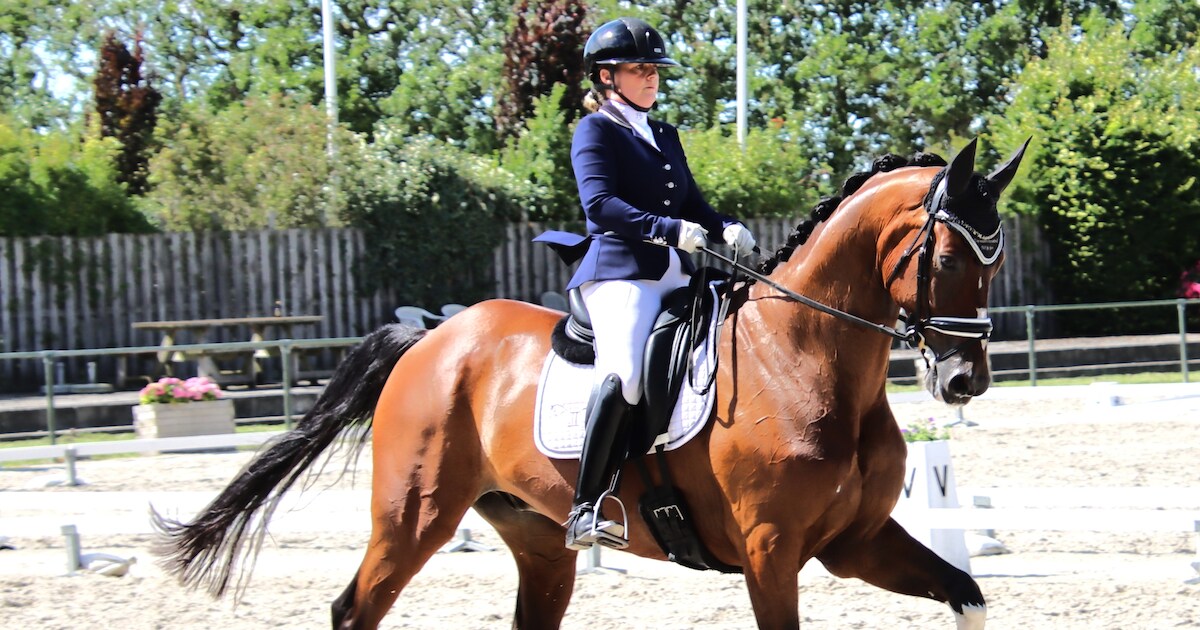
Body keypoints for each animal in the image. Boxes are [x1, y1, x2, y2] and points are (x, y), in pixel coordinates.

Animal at [154, 138, 1028, 629]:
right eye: (949, 257)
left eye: (997, 261)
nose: (964, 381)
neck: (803, 361)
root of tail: (431, 338)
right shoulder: (772, 554)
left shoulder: (855, 542)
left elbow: (970, 596)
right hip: (413, 517)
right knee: (352, 609)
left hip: (538, 538)